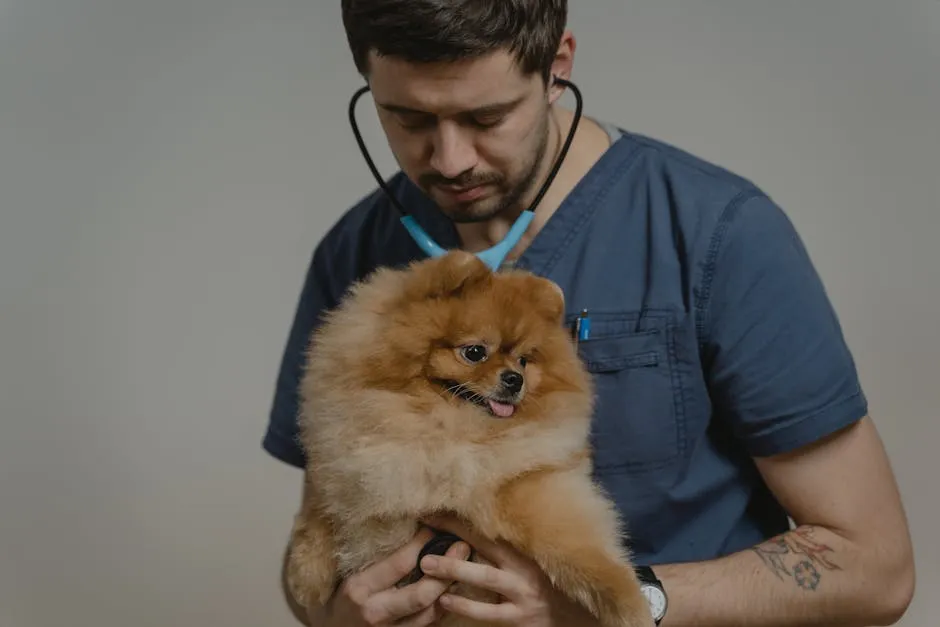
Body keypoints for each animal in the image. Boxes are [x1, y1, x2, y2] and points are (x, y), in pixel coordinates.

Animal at [286, 250, 652, 627]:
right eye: (475, 352)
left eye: (524, 360)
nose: (515, 379)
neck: (444, 433)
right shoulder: (347, 469)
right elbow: (320, 513)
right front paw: (306, 576)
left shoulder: (527, 483)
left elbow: (572, 542)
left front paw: (630, 604)